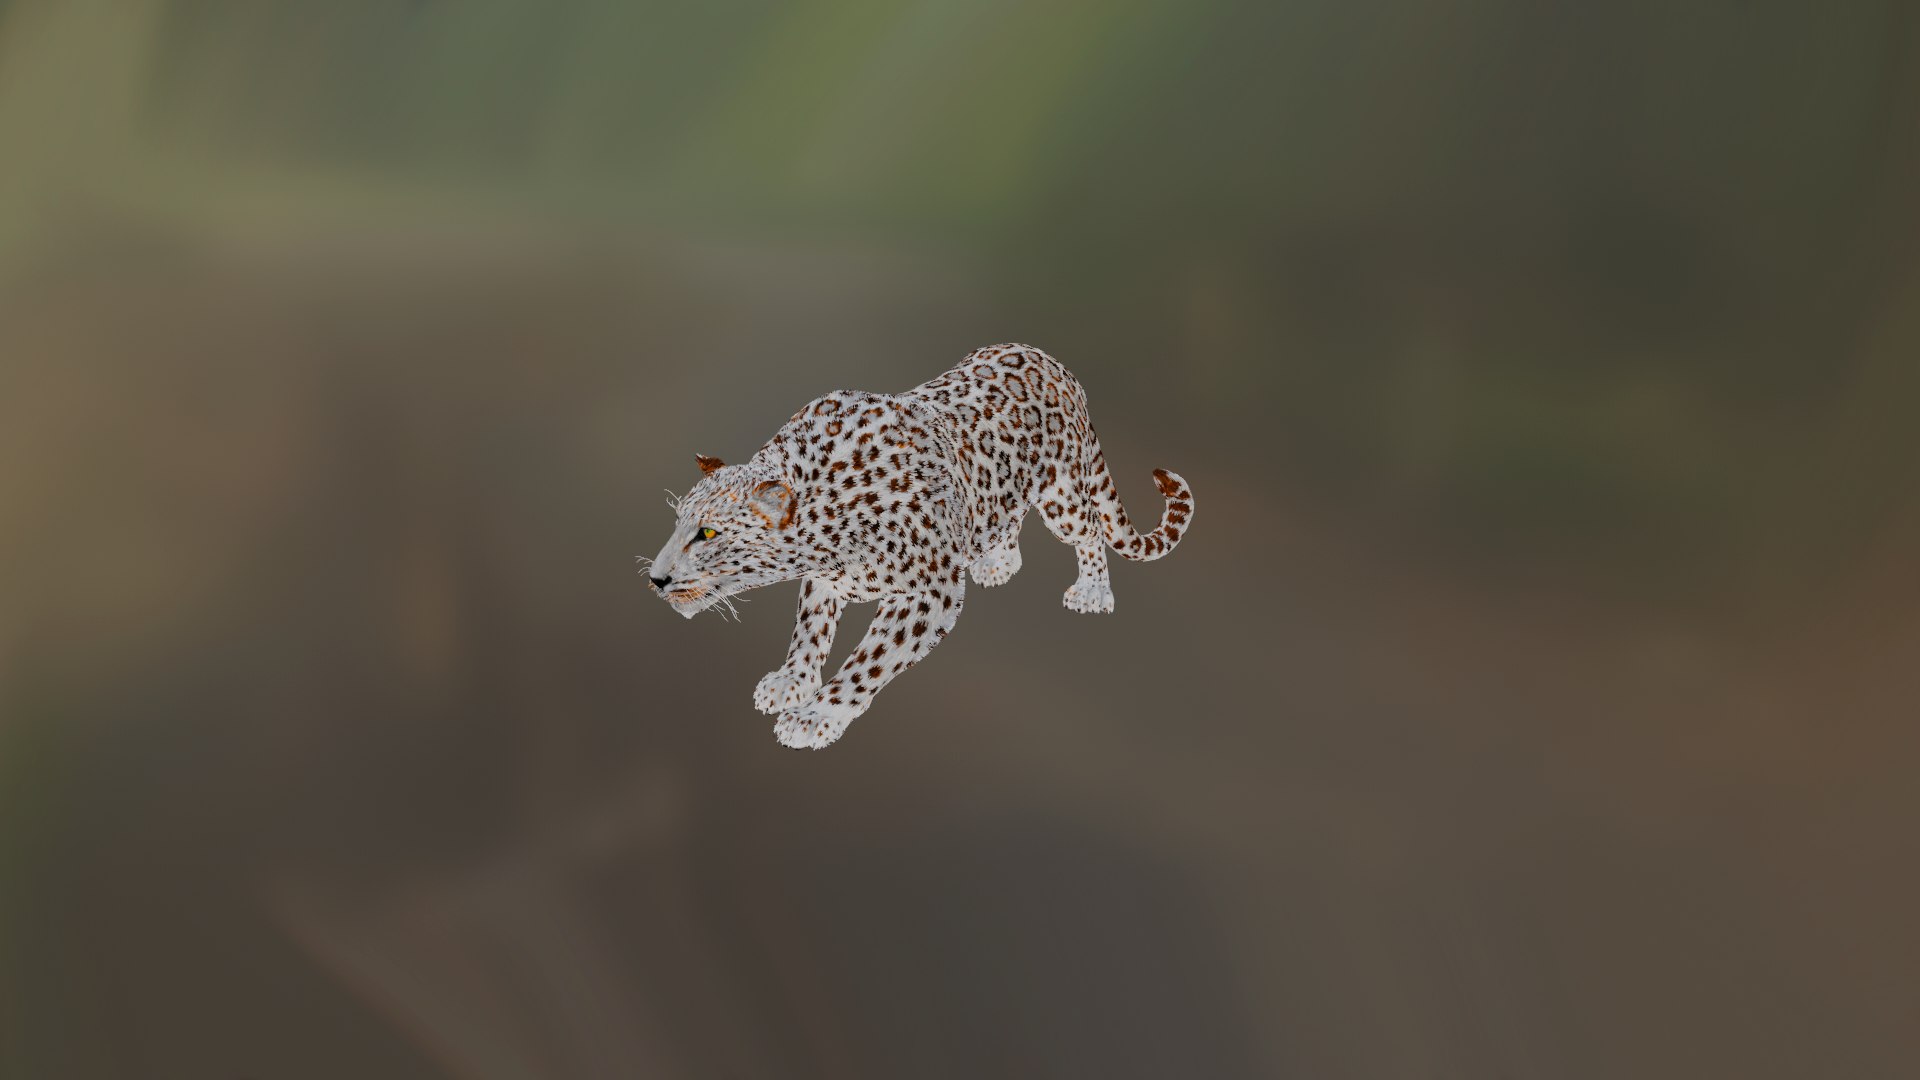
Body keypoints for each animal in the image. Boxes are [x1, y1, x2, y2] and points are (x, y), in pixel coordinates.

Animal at [641, 343, 1193, 749]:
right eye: (679, 522)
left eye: (708, 534)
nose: (656, 578)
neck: (827, 530)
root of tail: (1050, 359)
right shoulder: (824, 580)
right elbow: (809, 633)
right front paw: (789, 682)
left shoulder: (931, 590)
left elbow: (869, 661)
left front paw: (814, 716)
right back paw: (995, 560)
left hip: (1062, 495)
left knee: (1092, 529)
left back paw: (1092, 591)